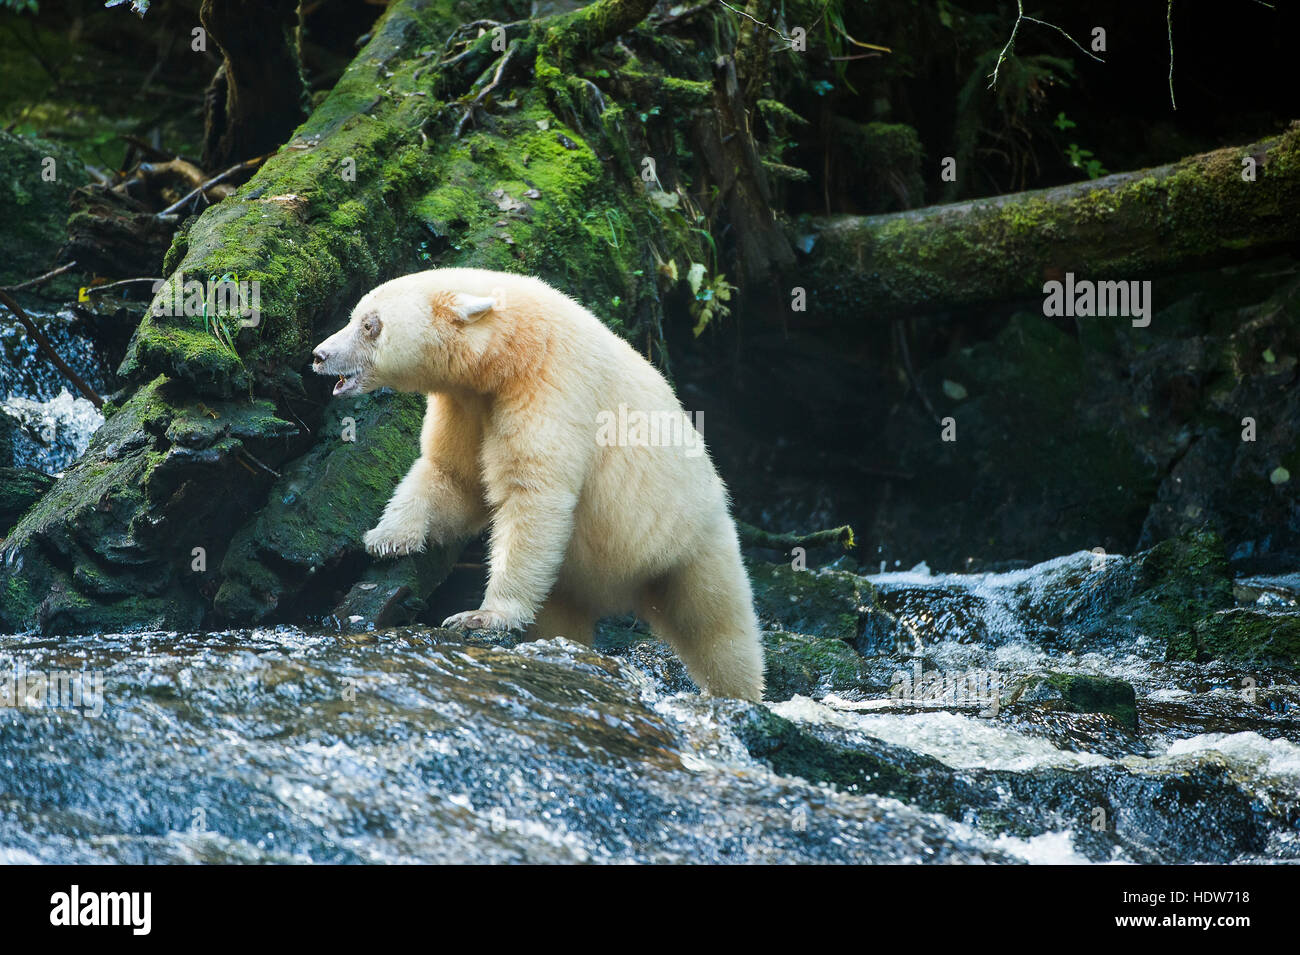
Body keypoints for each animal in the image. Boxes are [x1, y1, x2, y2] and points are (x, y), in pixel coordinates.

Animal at [311, 268, 764, 701]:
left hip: (690, 539)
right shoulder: (466, 402)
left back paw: (738, 692)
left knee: (716, 625)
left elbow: (532, 492)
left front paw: (481, 616)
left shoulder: (551, 387)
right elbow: (454, 477)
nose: (319, 355)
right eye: (355, 316)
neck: (509, 350)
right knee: (561, 618)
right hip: (572, 581)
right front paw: (387, 537)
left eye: (370, 324)